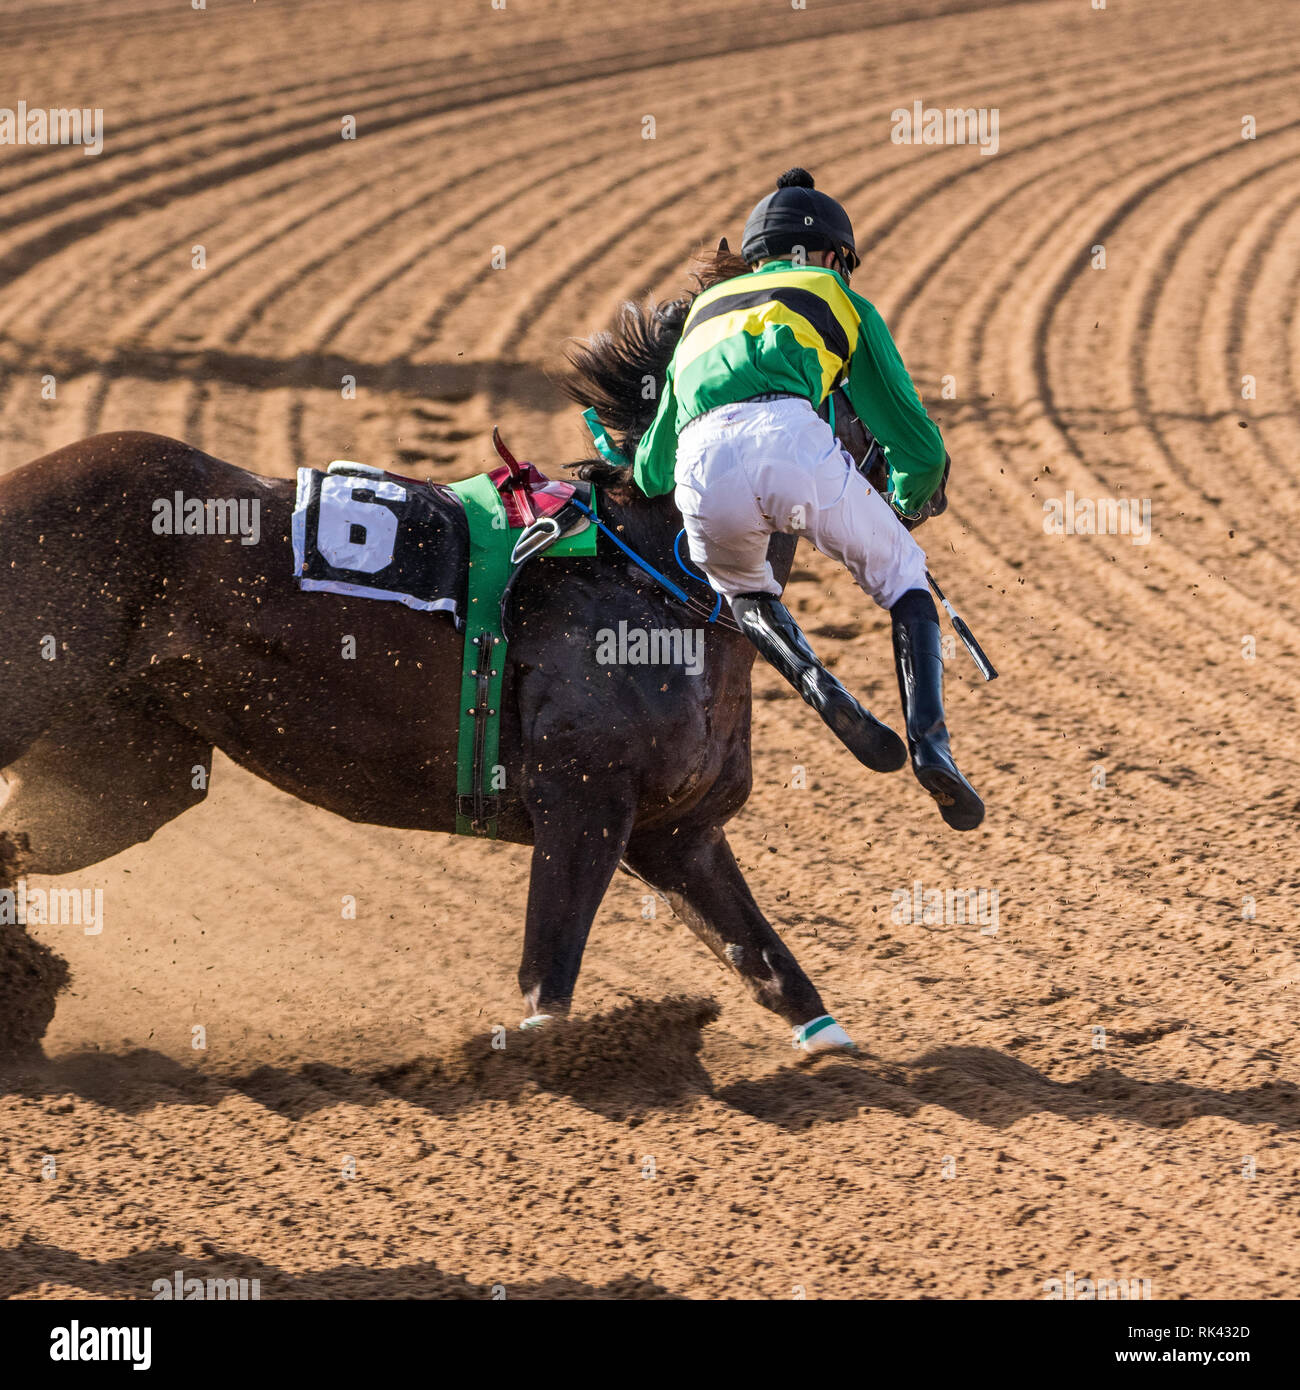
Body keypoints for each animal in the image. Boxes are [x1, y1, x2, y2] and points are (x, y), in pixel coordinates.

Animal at [0, 259, 909, 1060]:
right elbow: (551, 970)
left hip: (131, 770)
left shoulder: (677, 833)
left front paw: (836, 1049)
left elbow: (767, 960)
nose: (918, 483)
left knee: (22, 845)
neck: (655, 580)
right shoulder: (584, 802)